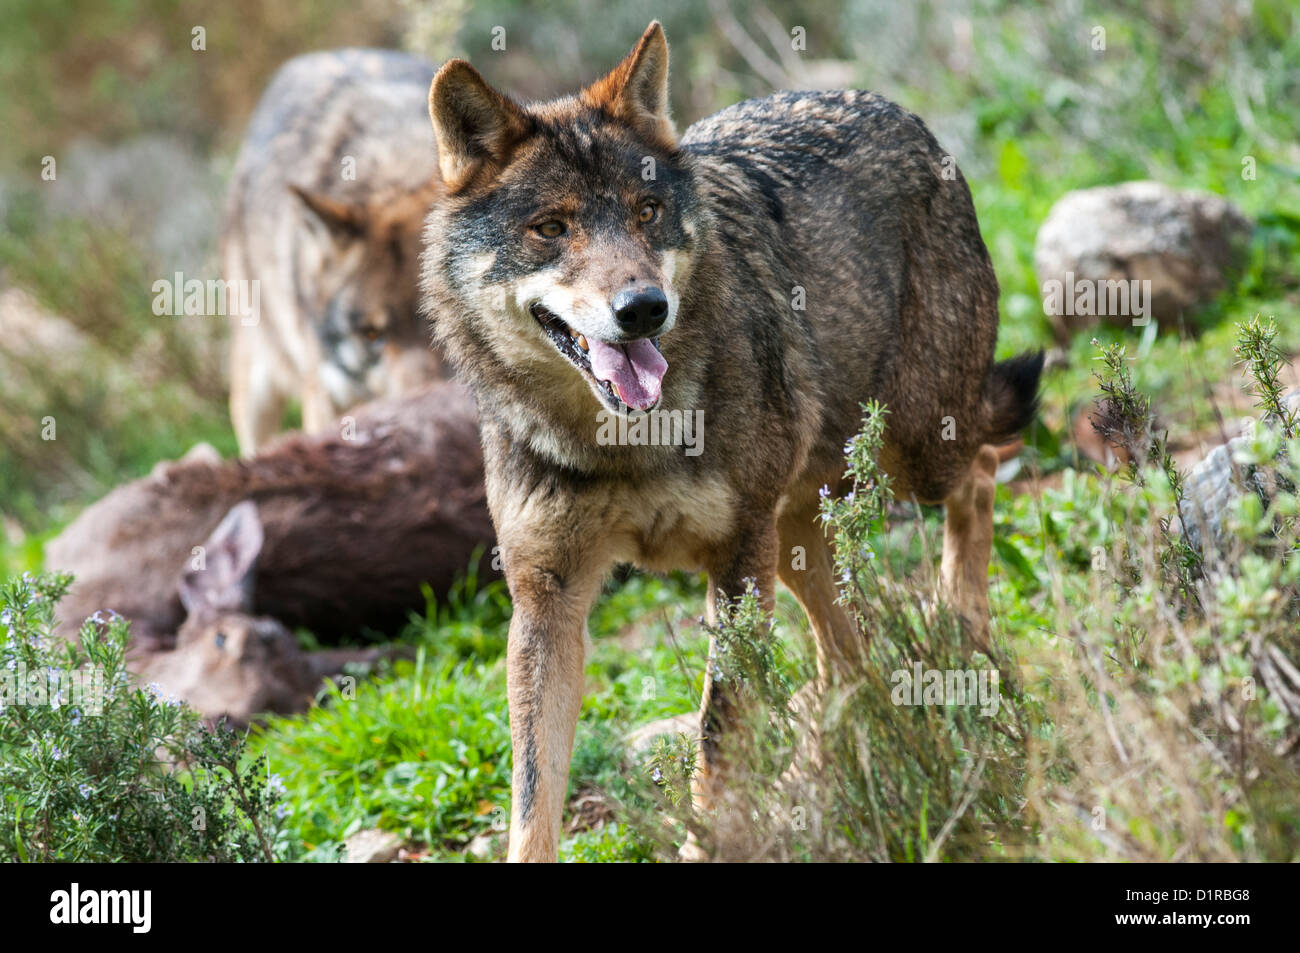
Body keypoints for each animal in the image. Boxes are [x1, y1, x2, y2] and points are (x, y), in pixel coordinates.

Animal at [421, 22, 1043, 862]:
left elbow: (717, 737)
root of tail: (891, 108)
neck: (623, 443)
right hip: (799, 529)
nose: (643, 308)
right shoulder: (545, 601)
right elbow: (531, 794)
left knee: (979, 472)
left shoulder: (737, 563)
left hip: (909, 454)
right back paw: (821, 776)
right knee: (847, 660)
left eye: (647, 211)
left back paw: (961, 622)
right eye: (551, 228)